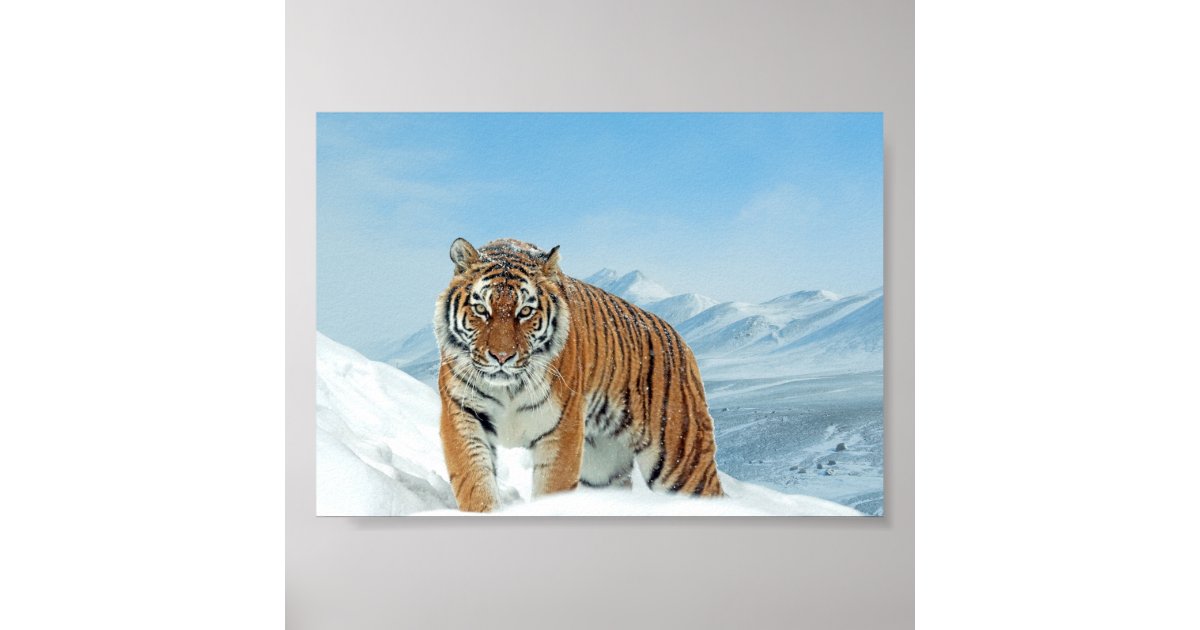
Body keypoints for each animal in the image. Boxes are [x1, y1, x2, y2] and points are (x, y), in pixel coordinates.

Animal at [433, 237, 724, 512]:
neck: (509, 388)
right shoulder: (463, 414)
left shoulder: (561, 428)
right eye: (481, 309)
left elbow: (552, 489)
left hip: (681, 459)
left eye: (525, 311)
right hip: (602, 468)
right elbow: (474, 481)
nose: (502, 357)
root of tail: (679, 339)